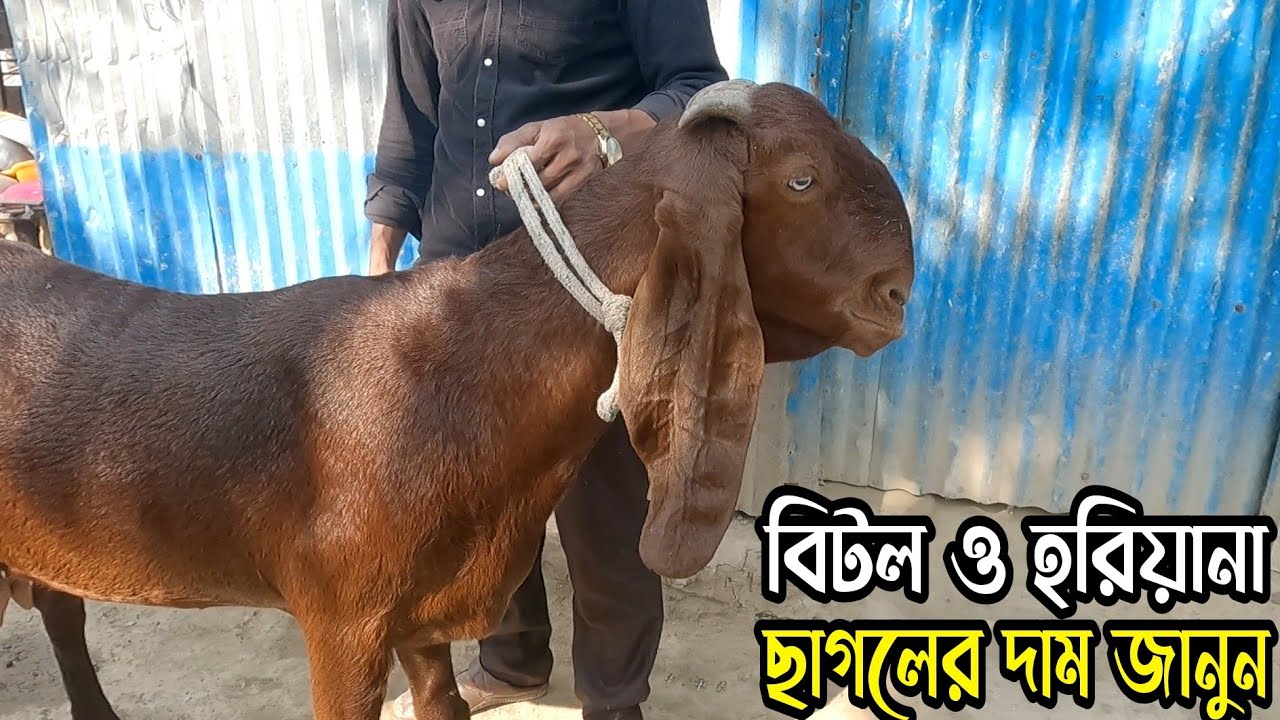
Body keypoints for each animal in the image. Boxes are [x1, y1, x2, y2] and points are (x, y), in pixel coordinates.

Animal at [0, 79, 915, 720]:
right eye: (802, 179)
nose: (897, 292)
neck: (455, 366)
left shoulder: (421, 618)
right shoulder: (343, 624)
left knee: (61, 612)